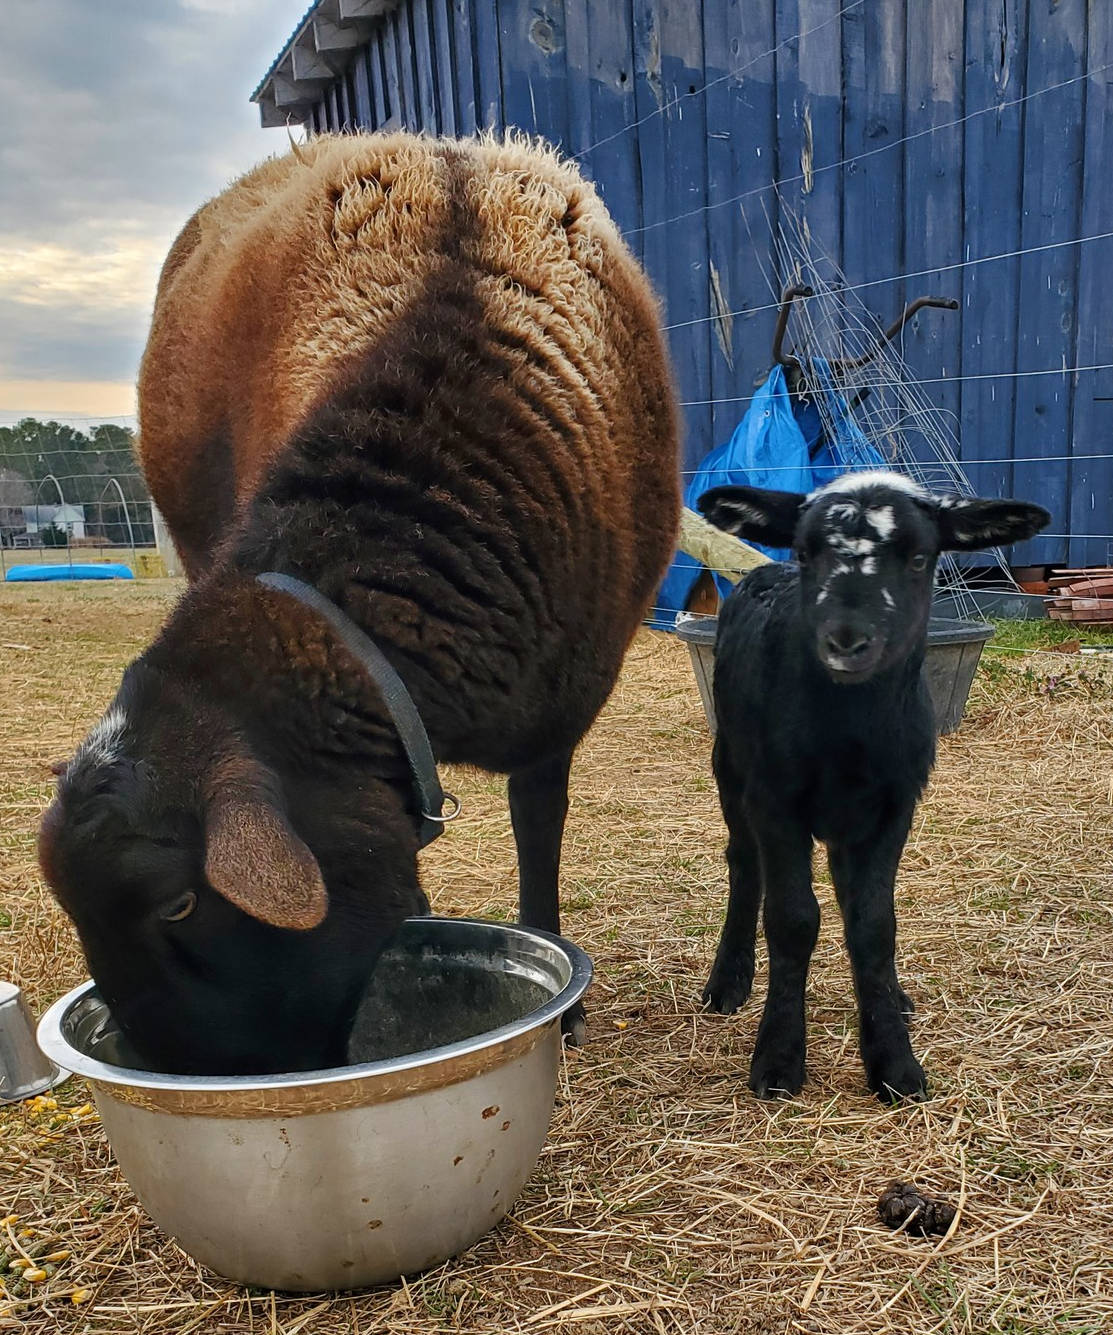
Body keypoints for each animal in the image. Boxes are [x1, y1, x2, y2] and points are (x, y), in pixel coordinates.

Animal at [697, 471, 1049, 1101]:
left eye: (919, 558)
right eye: (807, 553)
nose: (846, 641)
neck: (849, 734)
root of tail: (762, 571)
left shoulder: (894, 806)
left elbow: (873, 925)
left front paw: (893, 1063)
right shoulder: (776, 800)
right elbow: (793, 920)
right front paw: (778, 1061)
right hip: (731, 764)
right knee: (743, 863)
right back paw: (728, 981)